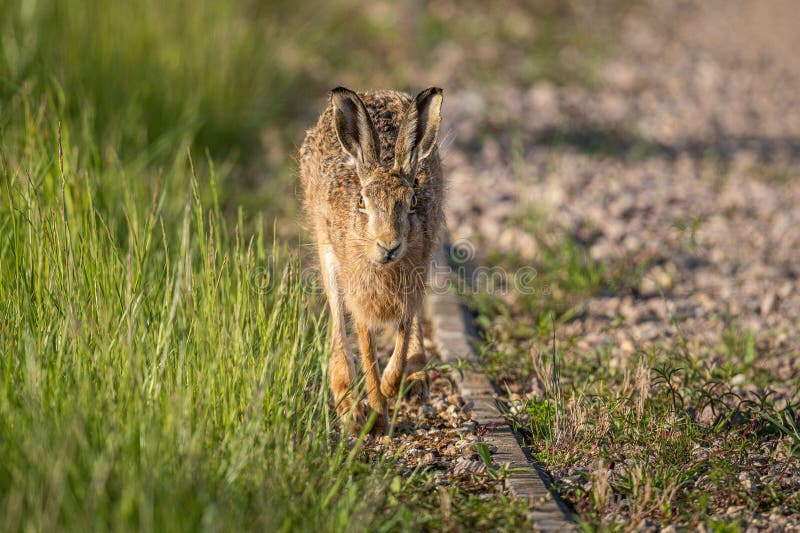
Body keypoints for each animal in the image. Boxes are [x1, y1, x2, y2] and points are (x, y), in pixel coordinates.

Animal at [299, 87, 444, 433]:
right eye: (362, 202)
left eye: (413, 201)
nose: (388, 245)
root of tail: (375, 92)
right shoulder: (360, 302)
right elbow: (367, 354)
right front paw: (378, 415)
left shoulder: (411, 291)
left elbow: (402, 338)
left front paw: (393, 386)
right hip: (326, 251)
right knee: (338, 324)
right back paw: (349, 409)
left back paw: (417, 378)